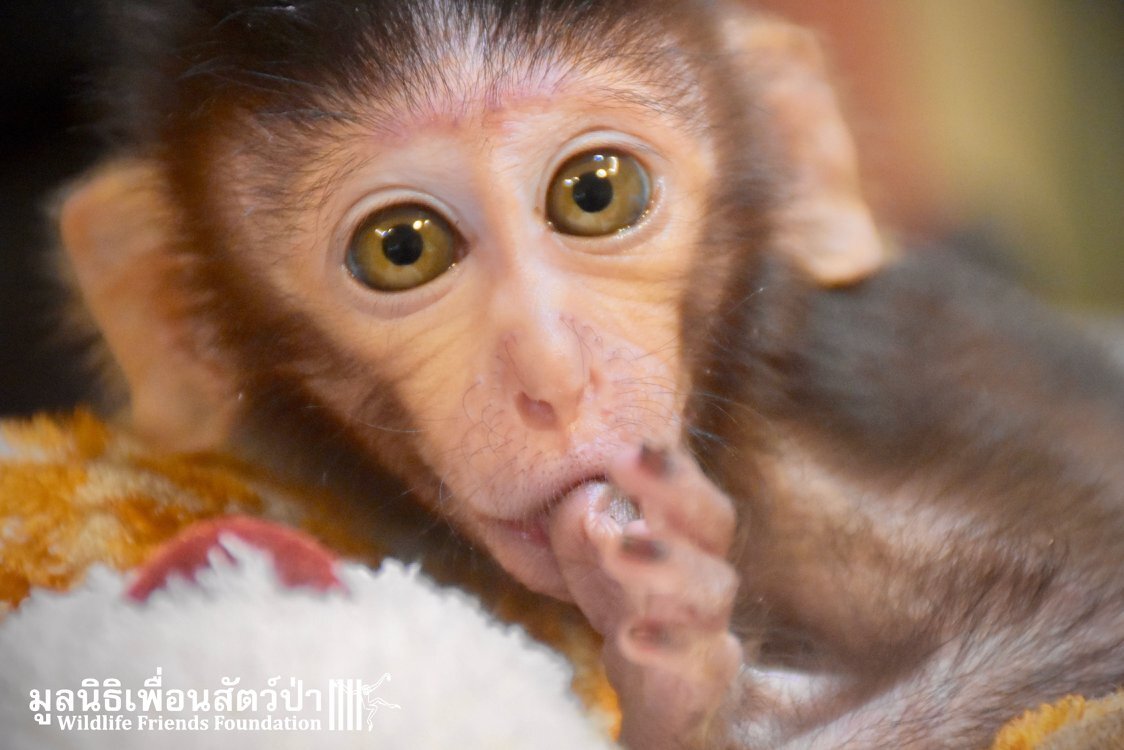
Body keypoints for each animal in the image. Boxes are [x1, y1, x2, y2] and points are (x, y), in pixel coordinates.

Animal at [53, 0, 1124, 747]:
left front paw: (691, 696)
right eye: (403, 247)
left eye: (594, 193)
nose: (554, 377)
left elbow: (1091, 625)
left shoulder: (799, 487)